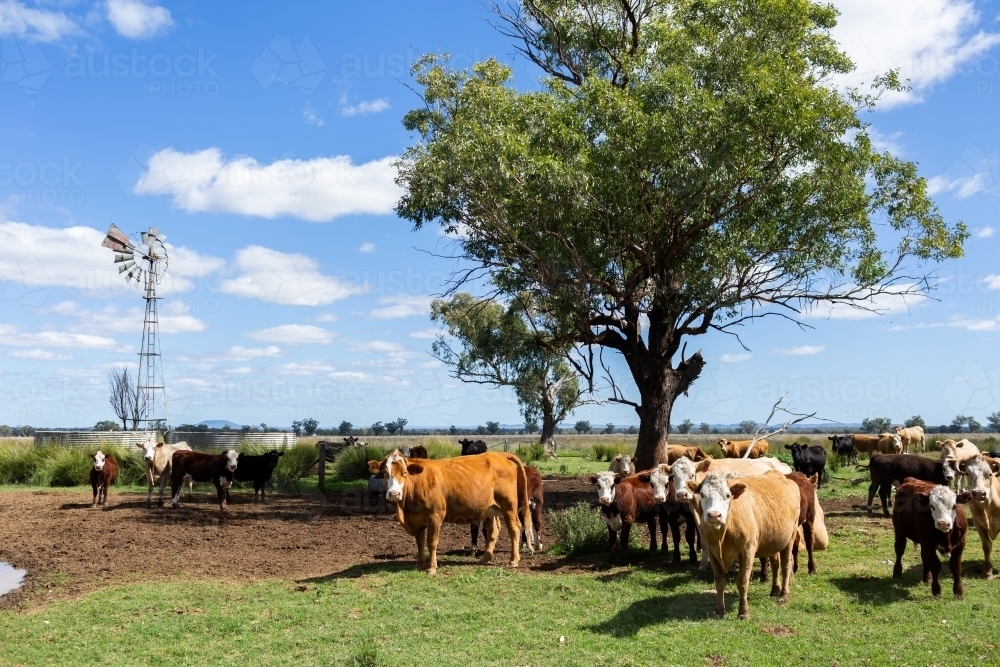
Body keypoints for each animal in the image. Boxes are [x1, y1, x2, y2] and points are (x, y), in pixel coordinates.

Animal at [369, 450, 533, 574]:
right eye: (385, 473)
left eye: (404, 473)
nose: (394, 493)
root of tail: (500, 454)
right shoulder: (417, 519)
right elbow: (420, 542)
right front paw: (419, 564)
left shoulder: (435, 516)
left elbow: (431, 542)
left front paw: (431, 568)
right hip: (490, 509)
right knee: (494, 530)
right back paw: (485, 558)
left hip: (509, 505)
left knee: (514, 528)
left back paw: (513, 560)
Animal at [687, 471, 801, 620]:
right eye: (702, 494)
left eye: (727, 495)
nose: (714, 515)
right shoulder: (713, 554)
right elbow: (720, 582)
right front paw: (718, 610)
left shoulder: (747, 551)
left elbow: (742, 582)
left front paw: (743, 612)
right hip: (773, 541)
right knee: (775, 564)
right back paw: (775, 590)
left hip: (790, 538)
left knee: (786, 566)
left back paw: (784, 595)